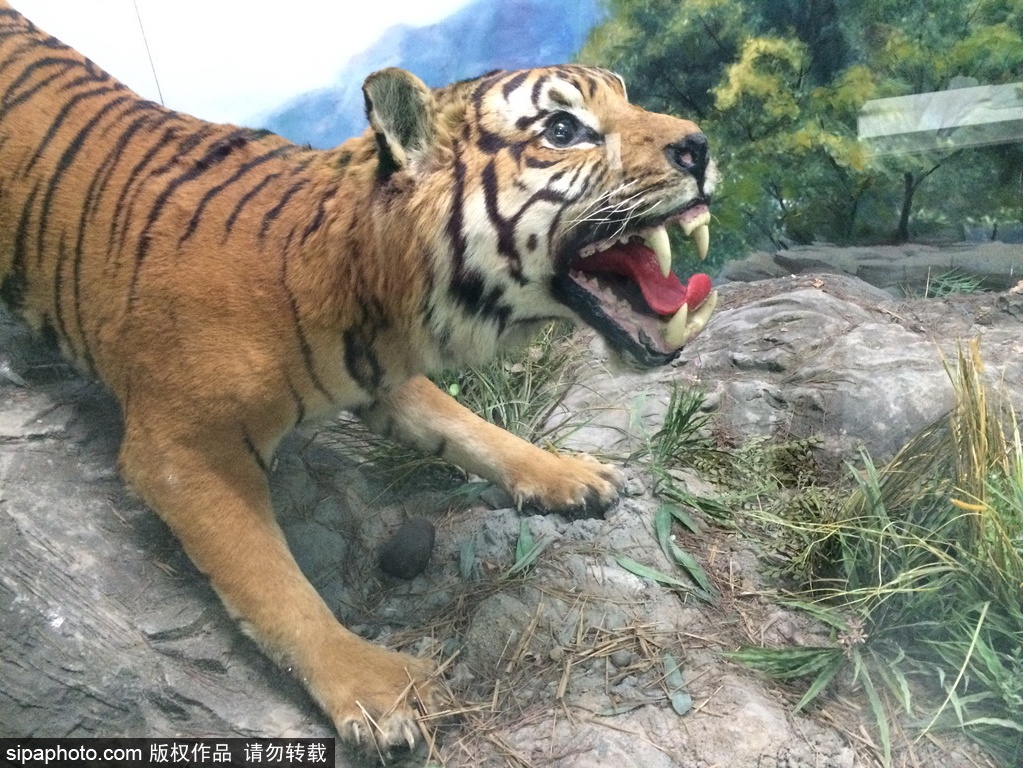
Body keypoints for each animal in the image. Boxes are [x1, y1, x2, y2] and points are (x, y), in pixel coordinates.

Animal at [0, 0, 718, 756]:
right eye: (562, 129)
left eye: (627, 98)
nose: (699, 146)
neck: (383, 294)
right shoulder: (183, 449)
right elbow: (273, 583)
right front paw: (376, 687)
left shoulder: (383, 378)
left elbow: (470, 428)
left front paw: (568, 474)